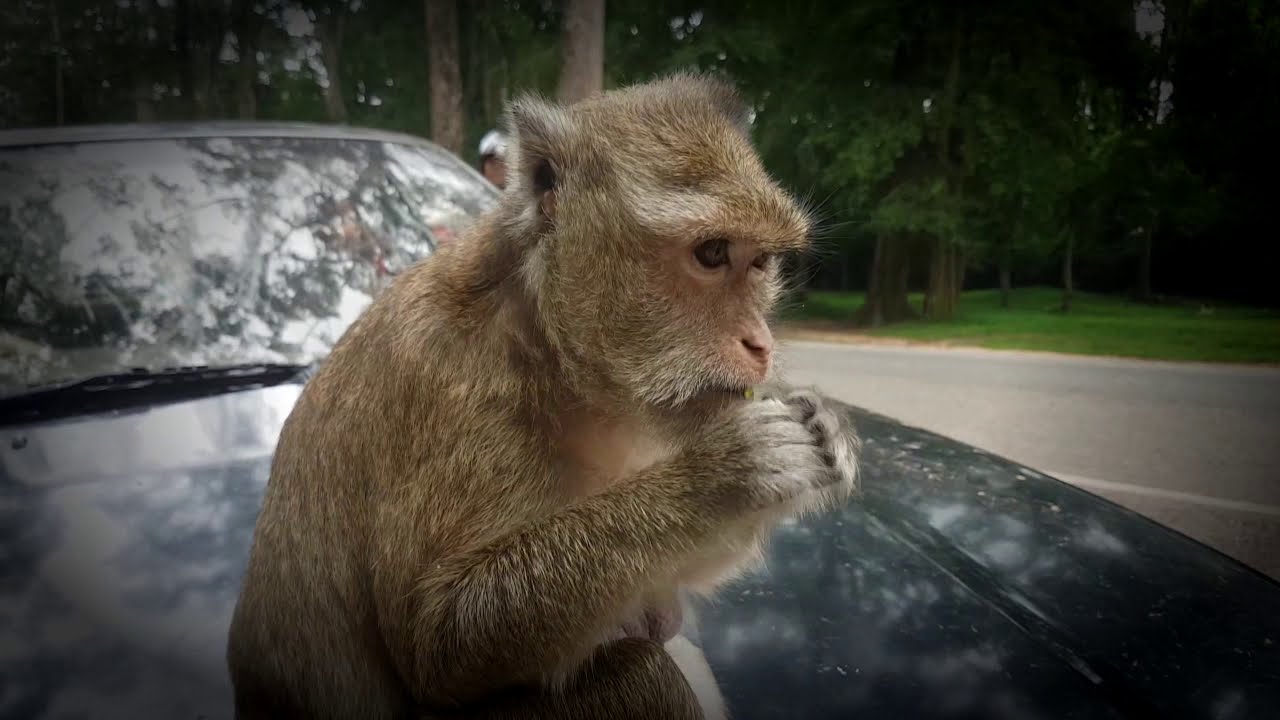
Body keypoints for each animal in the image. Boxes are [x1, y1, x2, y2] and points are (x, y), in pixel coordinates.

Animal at [225, 71, 860, 720]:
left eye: (760, 262)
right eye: (712, 254)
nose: (760, 343)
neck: (553, 357)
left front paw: (824, 426)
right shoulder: (450, 387)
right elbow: (436, 643)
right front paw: (724, 476)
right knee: (638, 671)